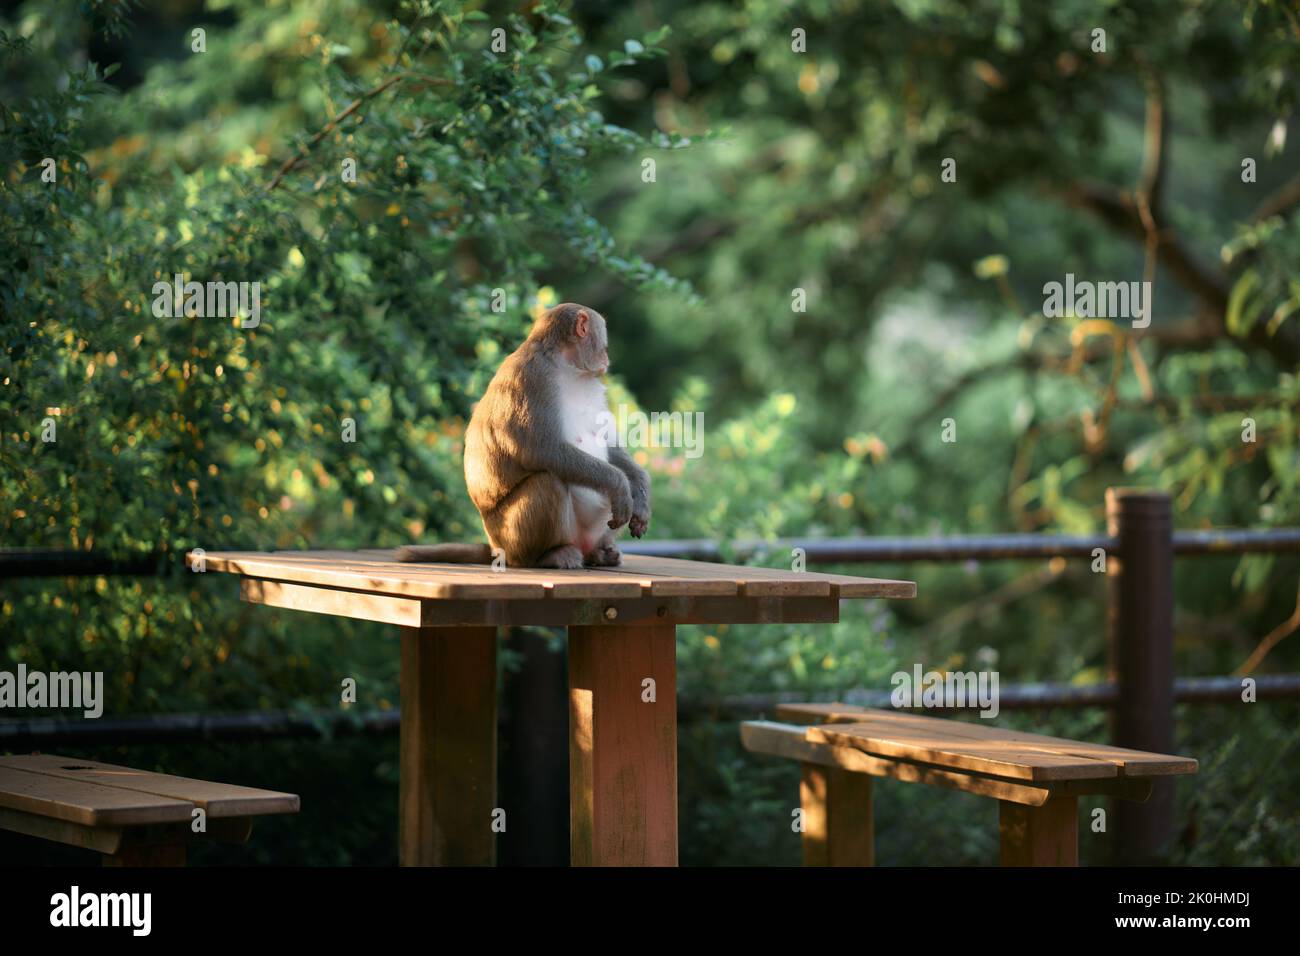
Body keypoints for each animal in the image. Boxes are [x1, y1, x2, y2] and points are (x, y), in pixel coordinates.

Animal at [396, 302, 651, 569]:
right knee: (548, 481)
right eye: (604, 345)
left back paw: (598, 553)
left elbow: (608, 444)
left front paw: (640, 491)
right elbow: (542, 450)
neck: (569, 370)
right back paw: (549, 555)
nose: (606, 359)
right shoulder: (535, 377)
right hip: (512, 538)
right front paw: (619, 485)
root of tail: (496, 548)